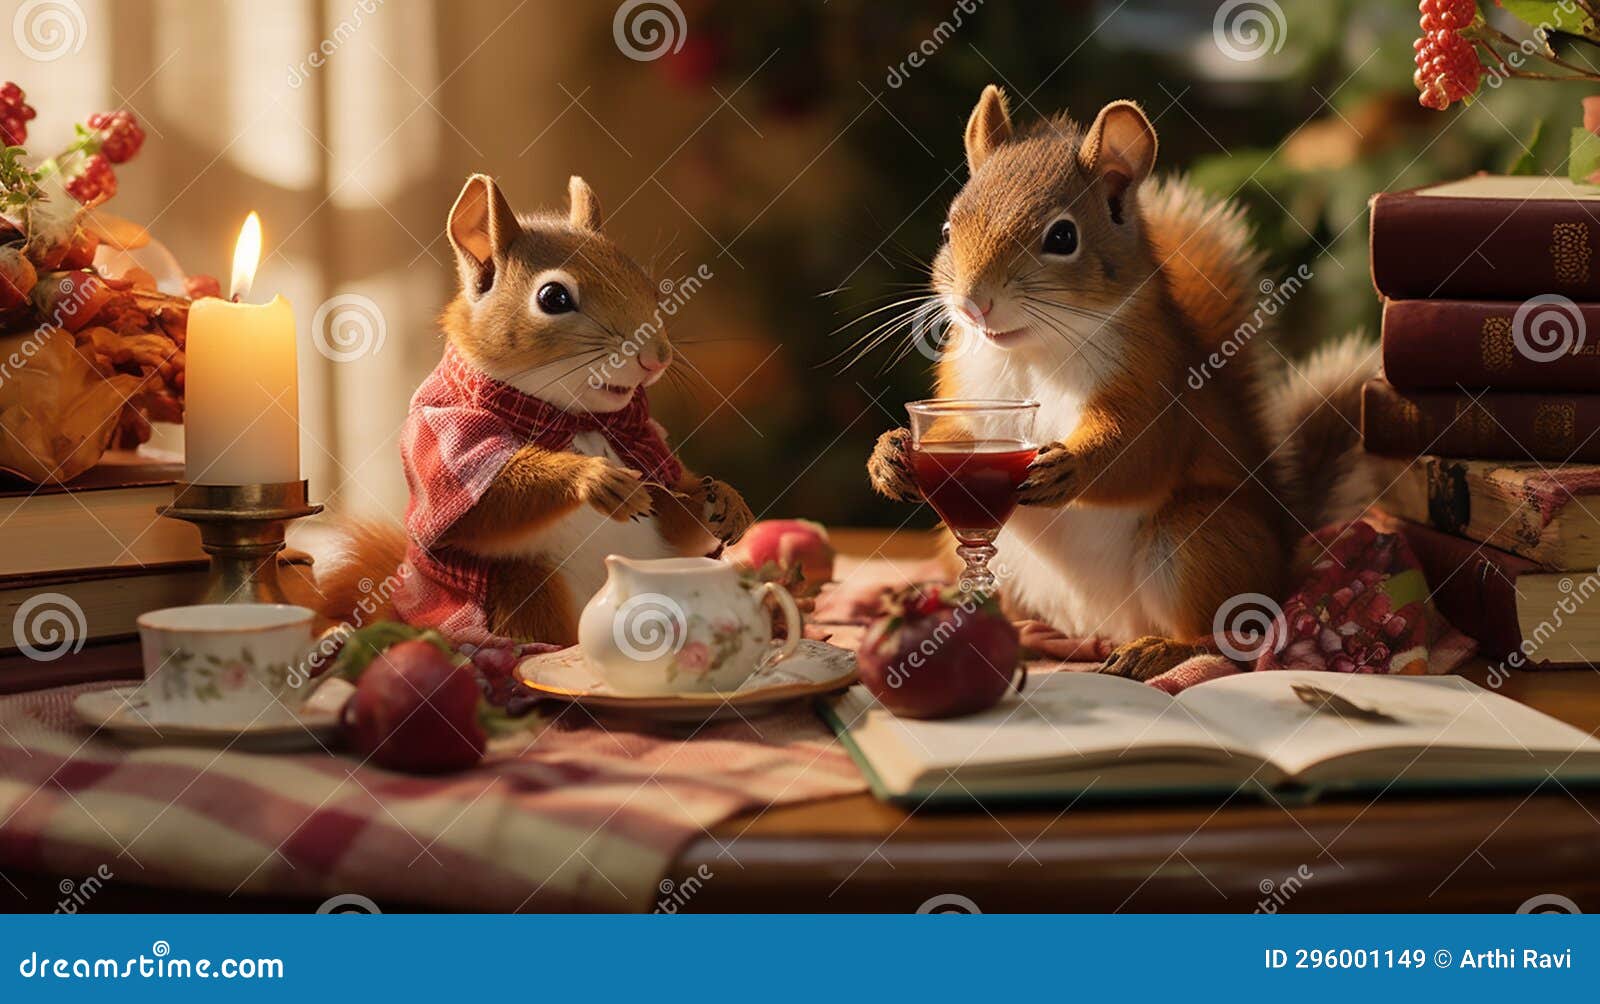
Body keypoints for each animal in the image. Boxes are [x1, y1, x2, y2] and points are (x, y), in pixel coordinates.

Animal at [304, 174, 754, 646]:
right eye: (553, 297)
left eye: (646, 282)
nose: (657, 357)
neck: (577, 420)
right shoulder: (443, 434)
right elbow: (486, 501)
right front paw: (595, 478)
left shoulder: (643, 437)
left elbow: (675, 515)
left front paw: (724, 499)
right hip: (527, 584)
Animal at [867, 86, 1375, 680]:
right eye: (949, 229)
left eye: (1063, 236)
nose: (974, 303)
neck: (1033, 348)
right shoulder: (969, 396)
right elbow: (955, 437)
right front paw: (890, 454)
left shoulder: (1157, 386)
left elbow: (1140, 451)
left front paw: (1073, 466)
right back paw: (1032, 632)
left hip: (1201, 541)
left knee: (1228, 638)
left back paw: (1161, 650)